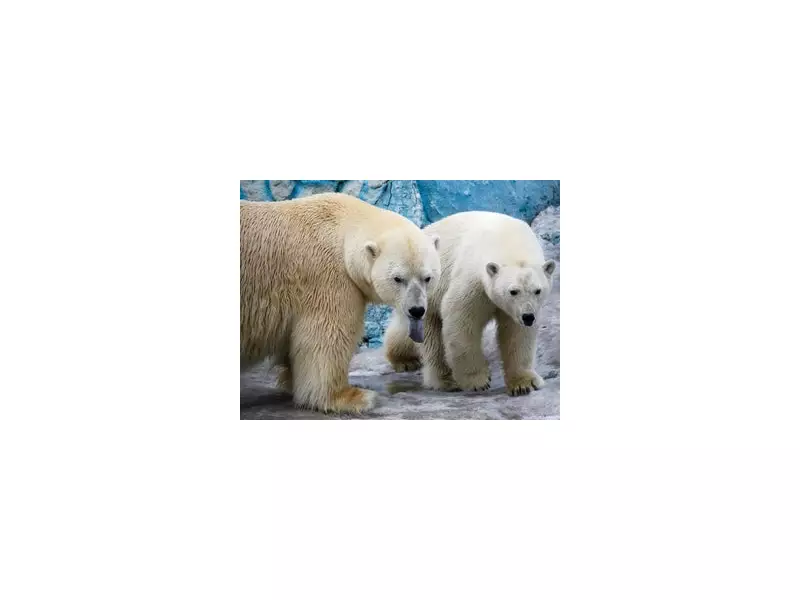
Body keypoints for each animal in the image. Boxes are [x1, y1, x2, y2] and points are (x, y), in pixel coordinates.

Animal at [241, 193, 440, 413]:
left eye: (427, 278)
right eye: (398, 278)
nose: (417, 310)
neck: (344, 228)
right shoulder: (329, 279)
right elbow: (327, 337)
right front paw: (352, 397)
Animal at [384, 211, 555, 396]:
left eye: (537, 290)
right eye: (513, 291)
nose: (528, 317)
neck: (507, 240)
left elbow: (516, 333)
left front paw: (524, 383)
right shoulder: (473, 279)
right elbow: (461, 320)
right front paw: (477, 381)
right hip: (425, 291)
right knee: (431, 339)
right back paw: (440, 377)